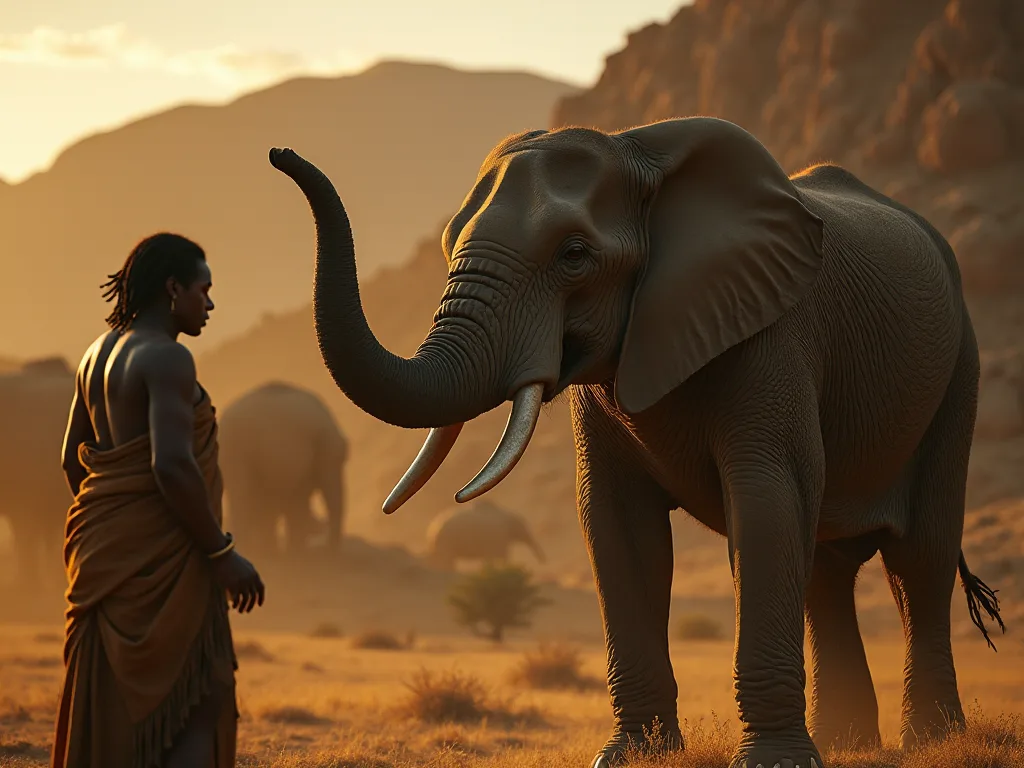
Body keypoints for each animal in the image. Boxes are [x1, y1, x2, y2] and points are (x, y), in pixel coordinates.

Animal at [268, 116, 1005, 768]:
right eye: (450, 244)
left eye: (574, 255)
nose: (280, 153)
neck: (639, 153)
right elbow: (617, 522)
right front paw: (631, 758)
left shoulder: (774, 331)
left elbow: (767, 501)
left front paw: (773, 765)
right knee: (825, 571)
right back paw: (849, 745)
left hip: (958, 371)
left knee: (918, 561)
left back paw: (930, 744)